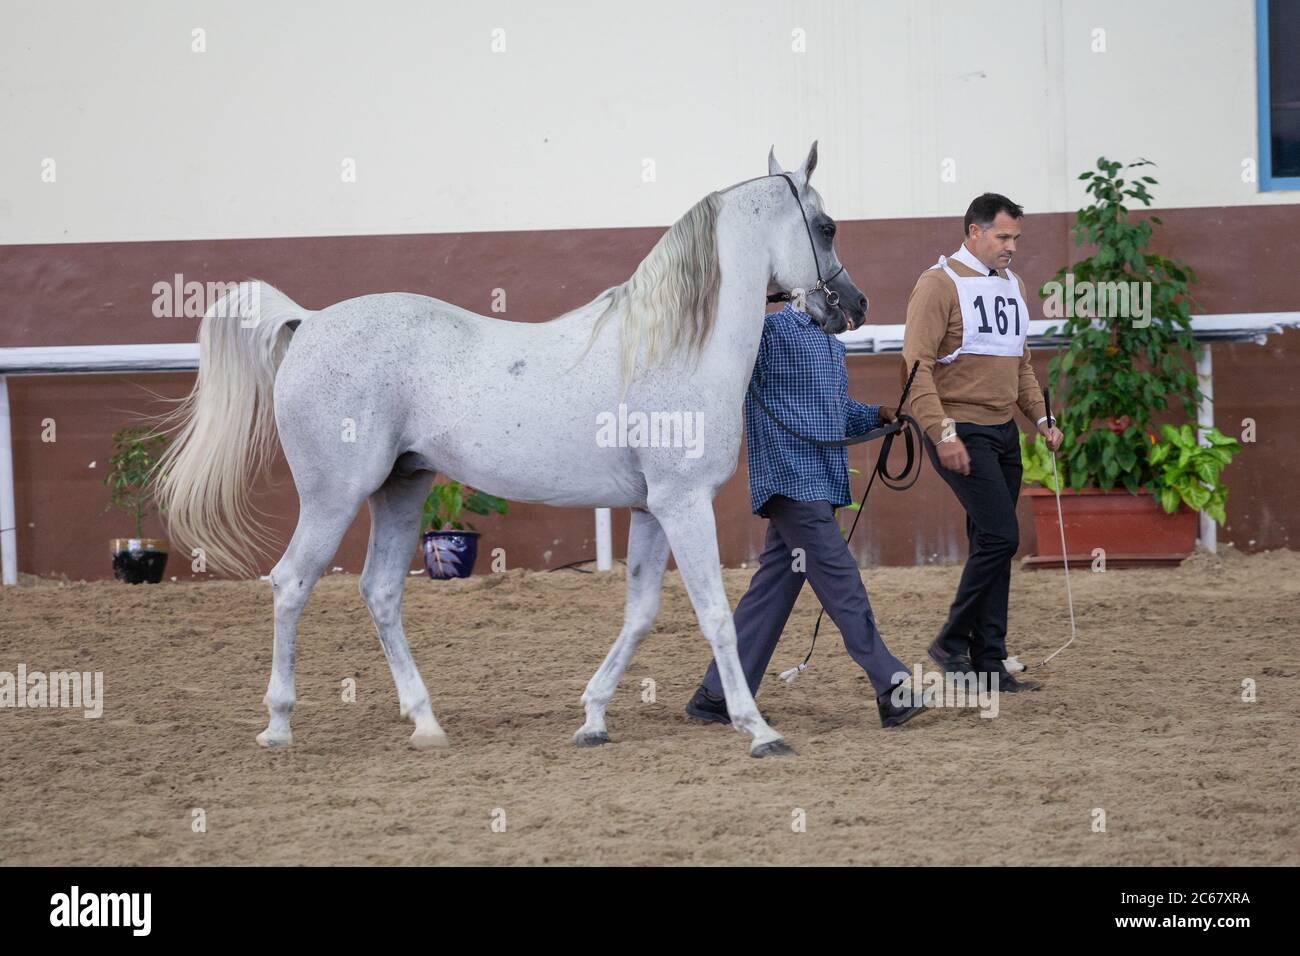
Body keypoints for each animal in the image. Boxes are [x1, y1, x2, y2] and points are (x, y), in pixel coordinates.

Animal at [156, 141, 870, 758]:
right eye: (827, 226)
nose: (854, 305)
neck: (669, 348)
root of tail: (309, 323)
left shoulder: (651, 508)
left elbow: (641, 614)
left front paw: (593, 717)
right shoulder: (684, 503)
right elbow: (717, 615)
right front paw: (759, 730)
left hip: (402, 488)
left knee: (380, 591)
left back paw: (426, 723)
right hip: (333, 496)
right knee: (291, 583)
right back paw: (279, 725)